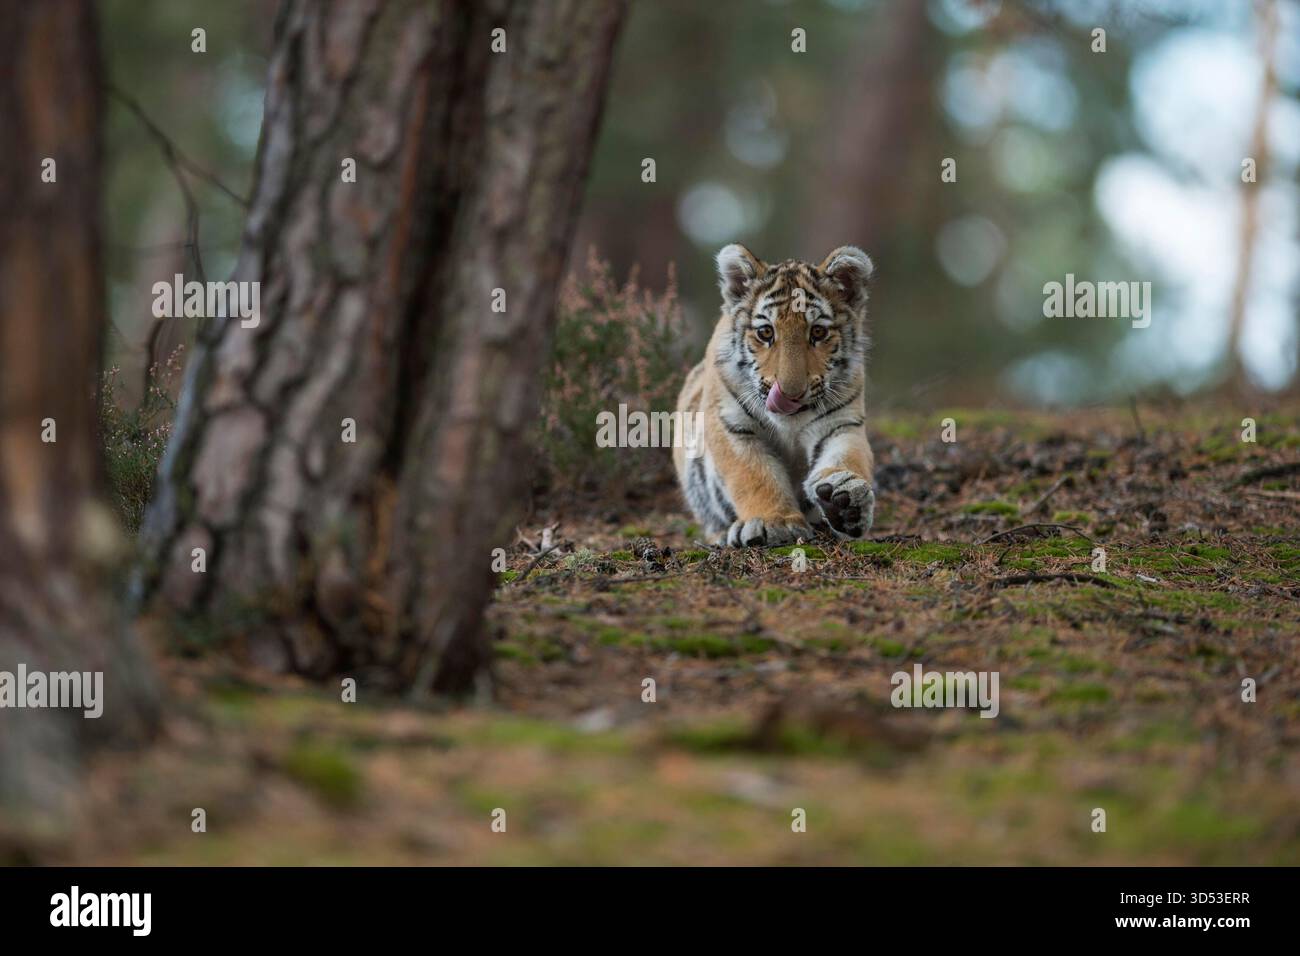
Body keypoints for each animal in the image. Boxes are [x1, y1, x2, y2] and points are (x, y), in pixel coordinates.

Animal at [673, 244, 877, 548]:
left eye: (818, 331)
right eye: (766, 332)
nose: (790, 394)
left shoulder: (841, 423)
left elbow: (846, 456)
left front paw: (845, 500)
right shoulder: (731, 427)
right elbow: (754, 476)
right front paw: (775, 522)